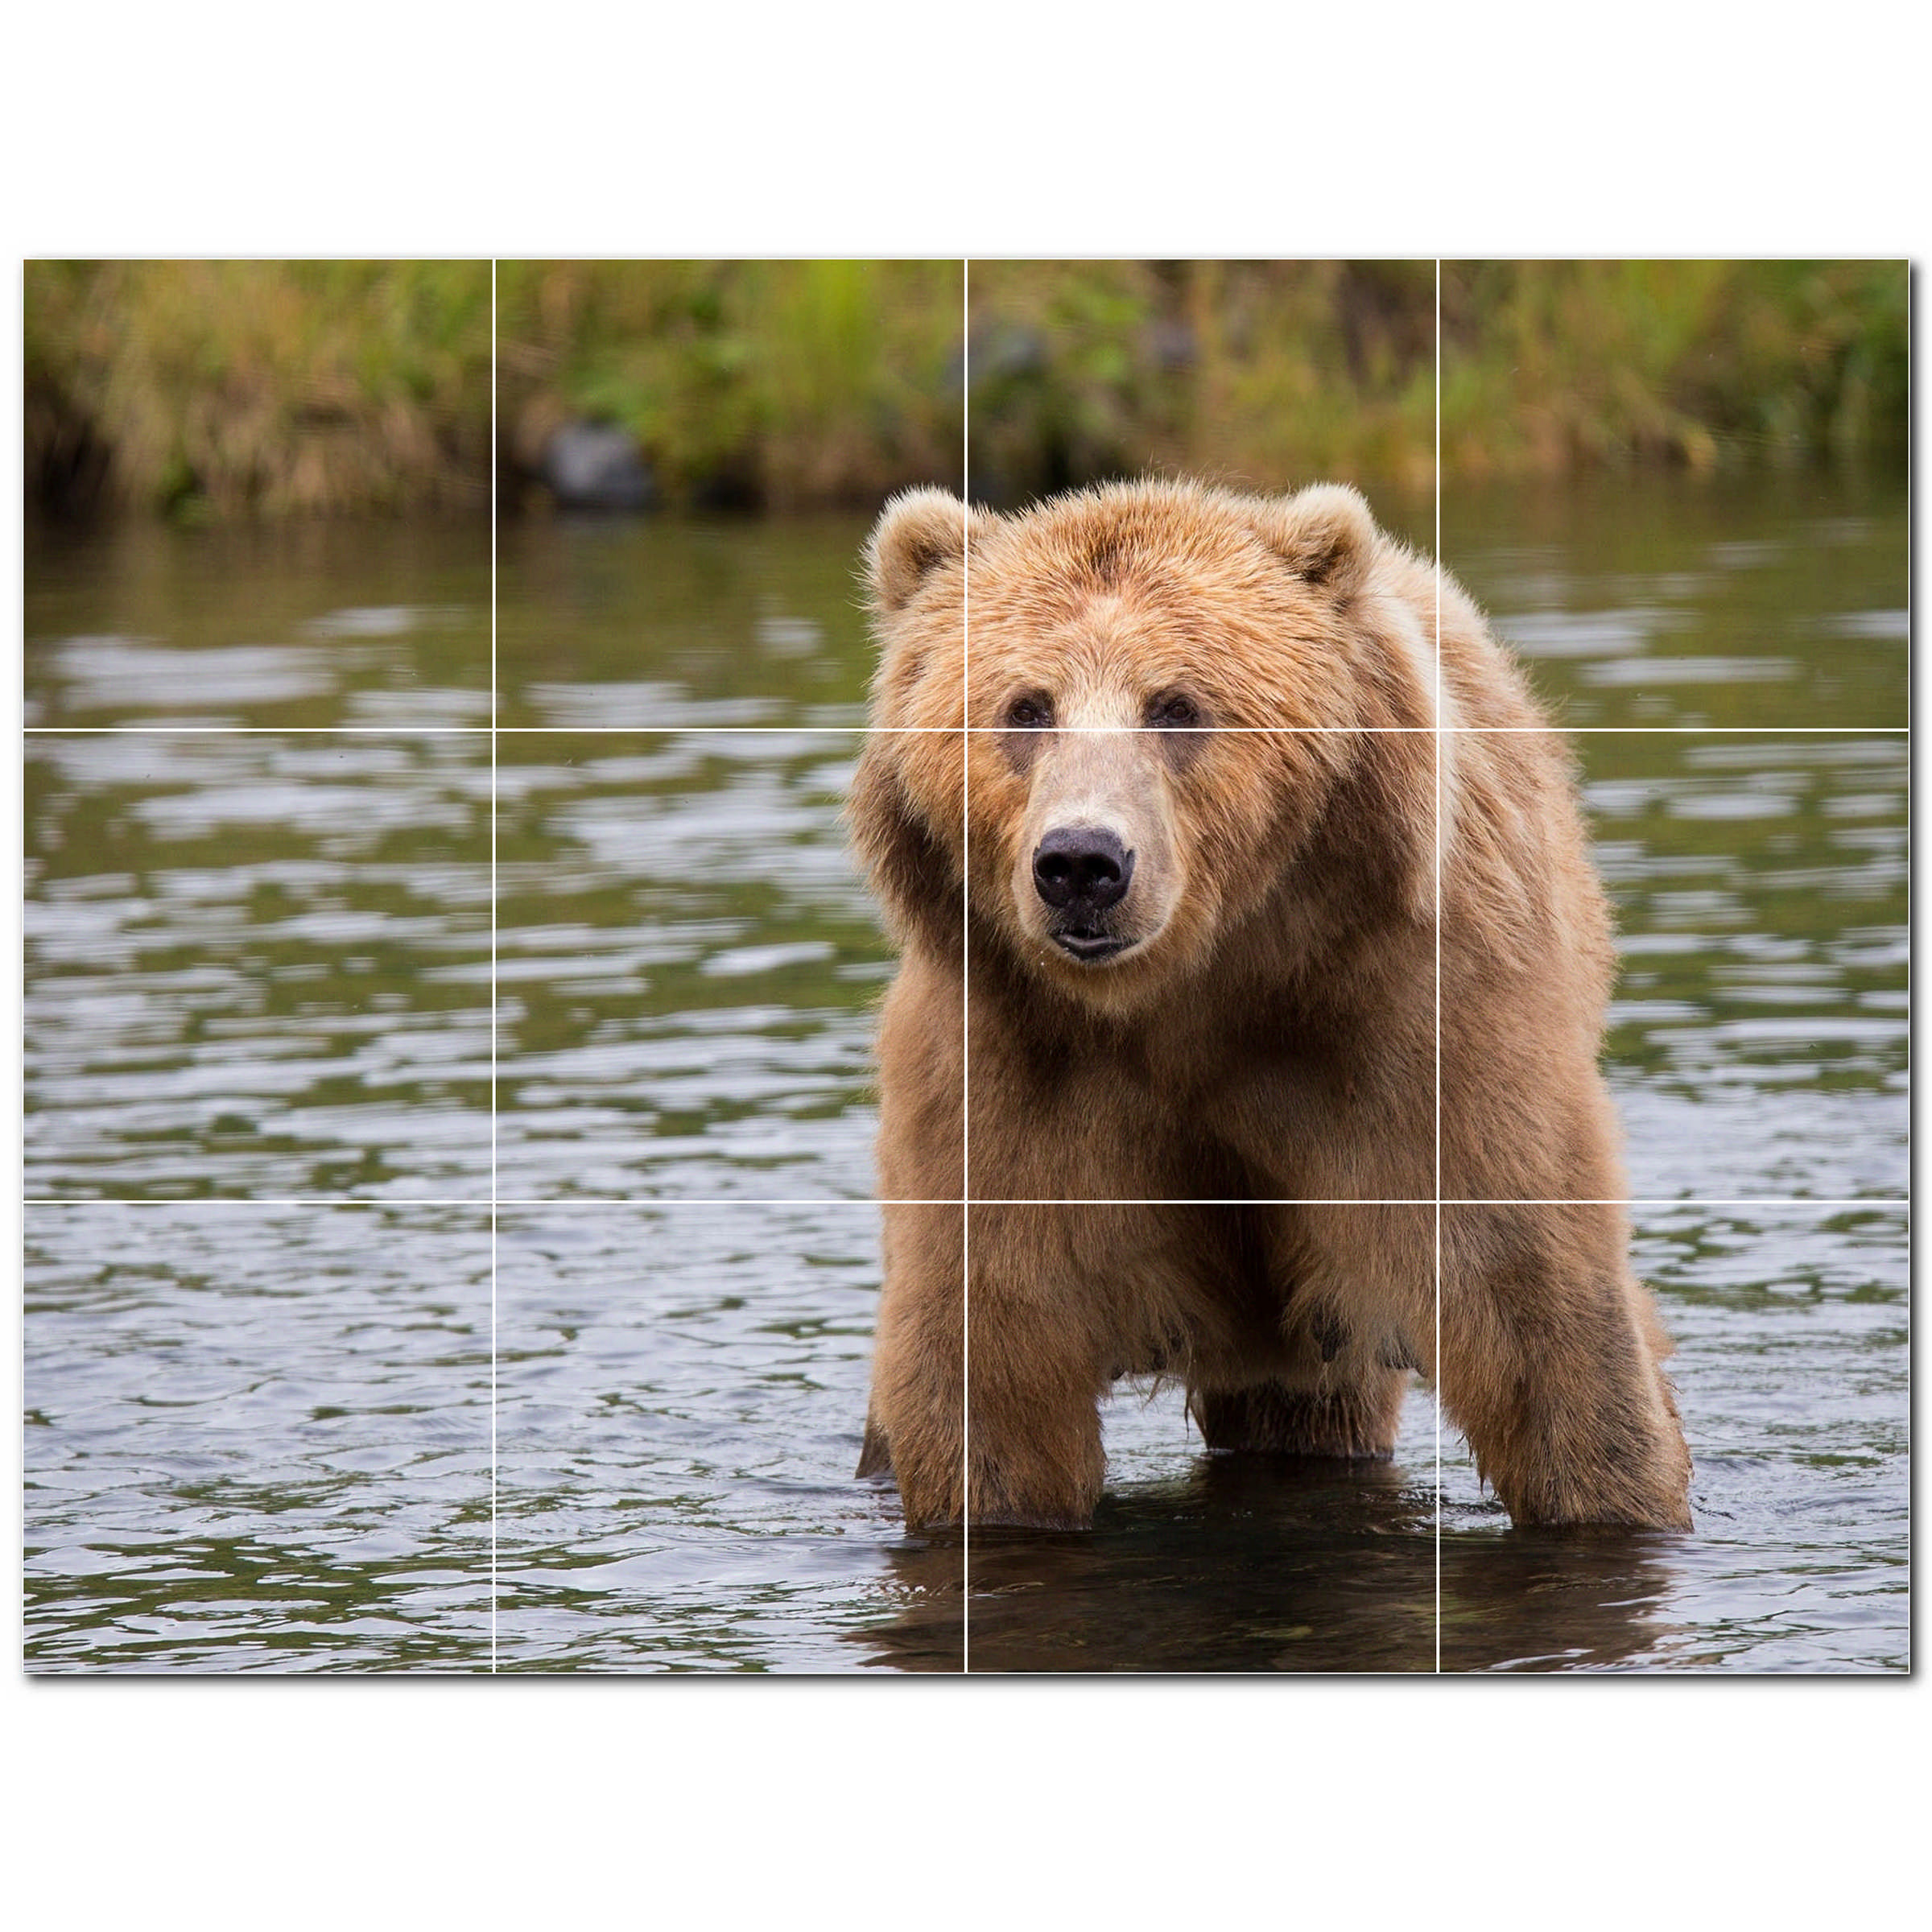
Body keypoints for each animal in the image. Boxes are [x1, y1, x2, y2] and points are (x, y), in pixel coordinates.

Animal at [846, 478, 1693, 1535]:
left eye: (1176, 706)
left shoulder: (1414, 1036)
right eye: (1025, 707)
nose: (1082, 864)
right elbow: (994, 1364)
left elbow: (1538, 1312)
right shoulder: (1010, 1073)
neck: (1196, 995)